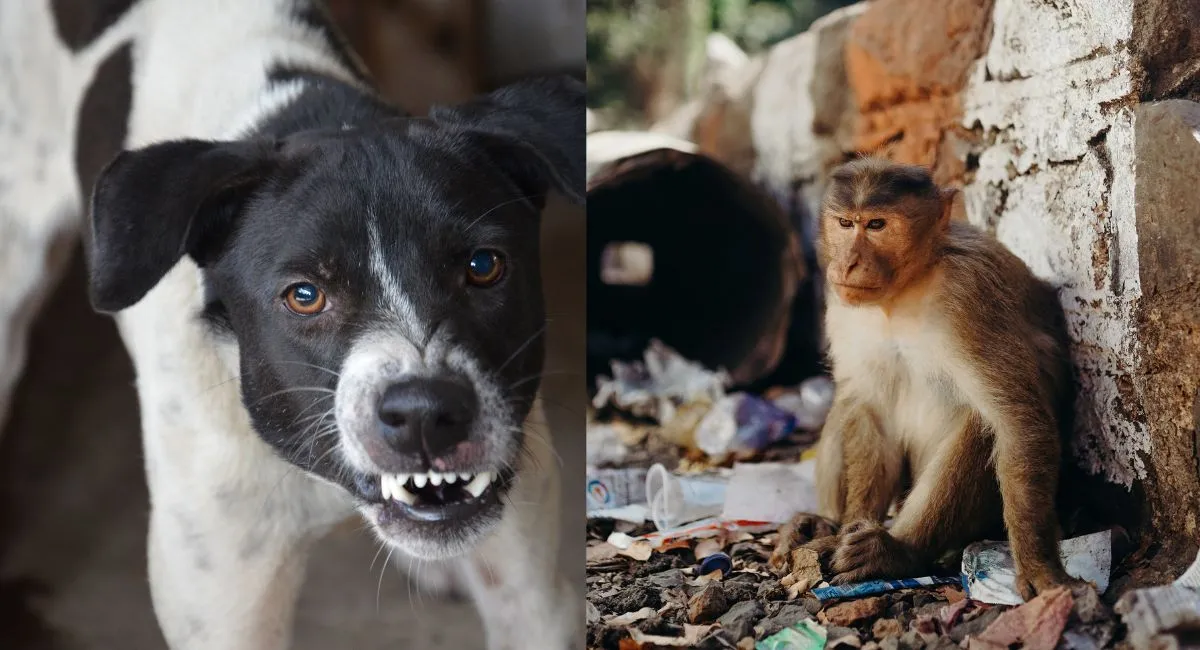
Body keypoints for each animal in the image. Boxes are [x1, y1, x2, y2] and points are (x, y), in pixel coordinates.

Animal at [777, 157, 1082, 600]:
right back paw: (823, 525)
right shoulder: (841, 301)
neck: (906, 287)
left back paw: (897, 551)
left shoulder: (969, 297)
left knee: (979, 424)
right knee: (848, 404)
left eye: (877, 225)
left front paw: (1039, 565)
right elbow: (869, 406)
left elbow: (1017, 421)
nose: (847, 263)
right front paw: (850, 525)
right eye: (845, 224)